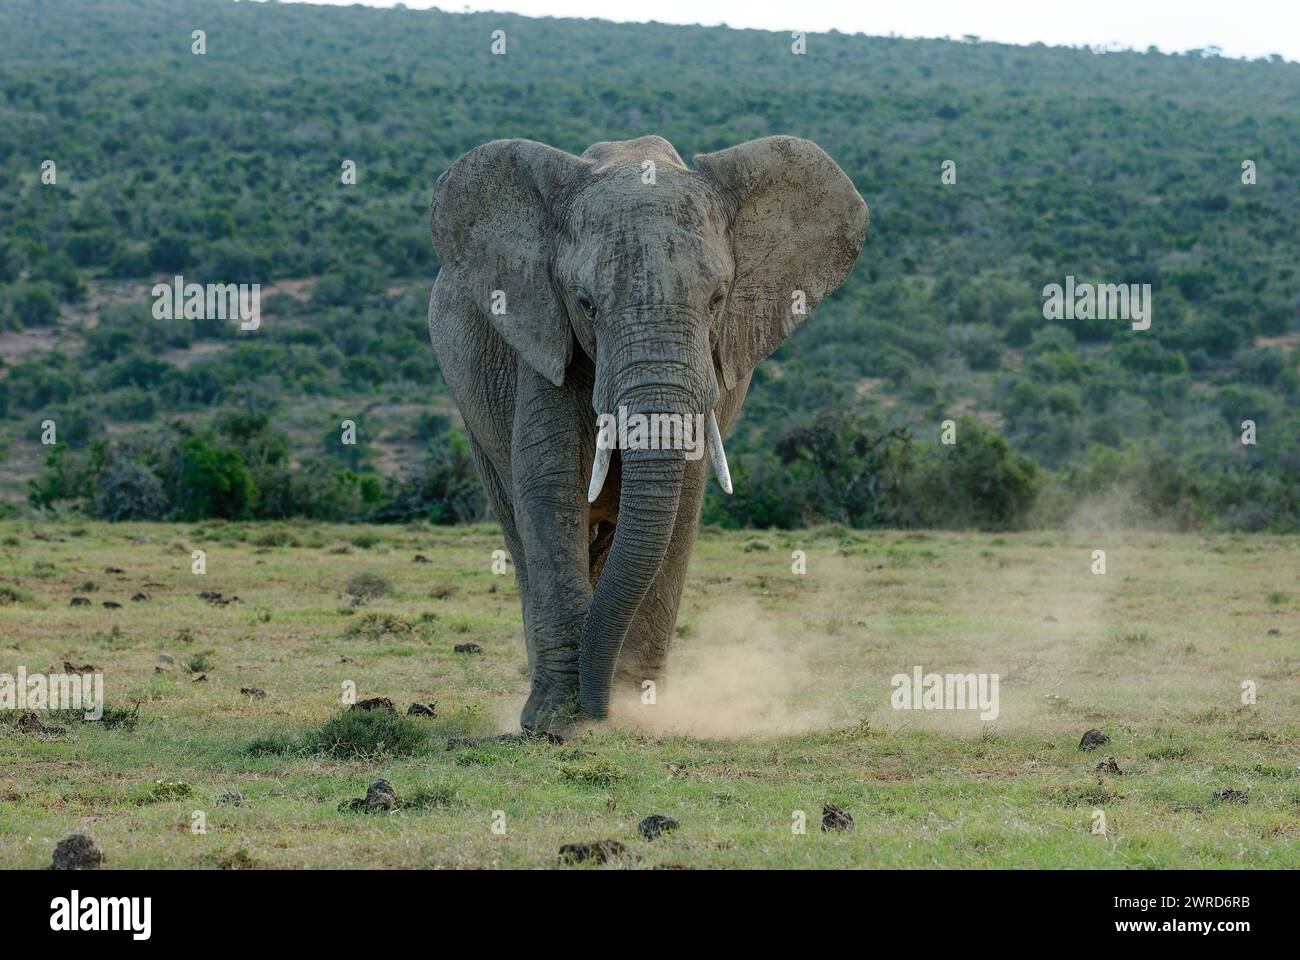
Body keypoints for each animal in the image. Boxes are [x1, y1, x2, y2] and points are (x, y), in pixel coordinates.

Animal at [427, 134, 867, 732]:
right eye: (585, 303)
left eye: (718, 299)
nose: (597, 711)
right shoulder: (542, 339)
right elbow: (549, 490)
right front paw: (557, 722)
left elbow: (682, 505)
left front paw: (639, 712)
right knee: (518, 529)